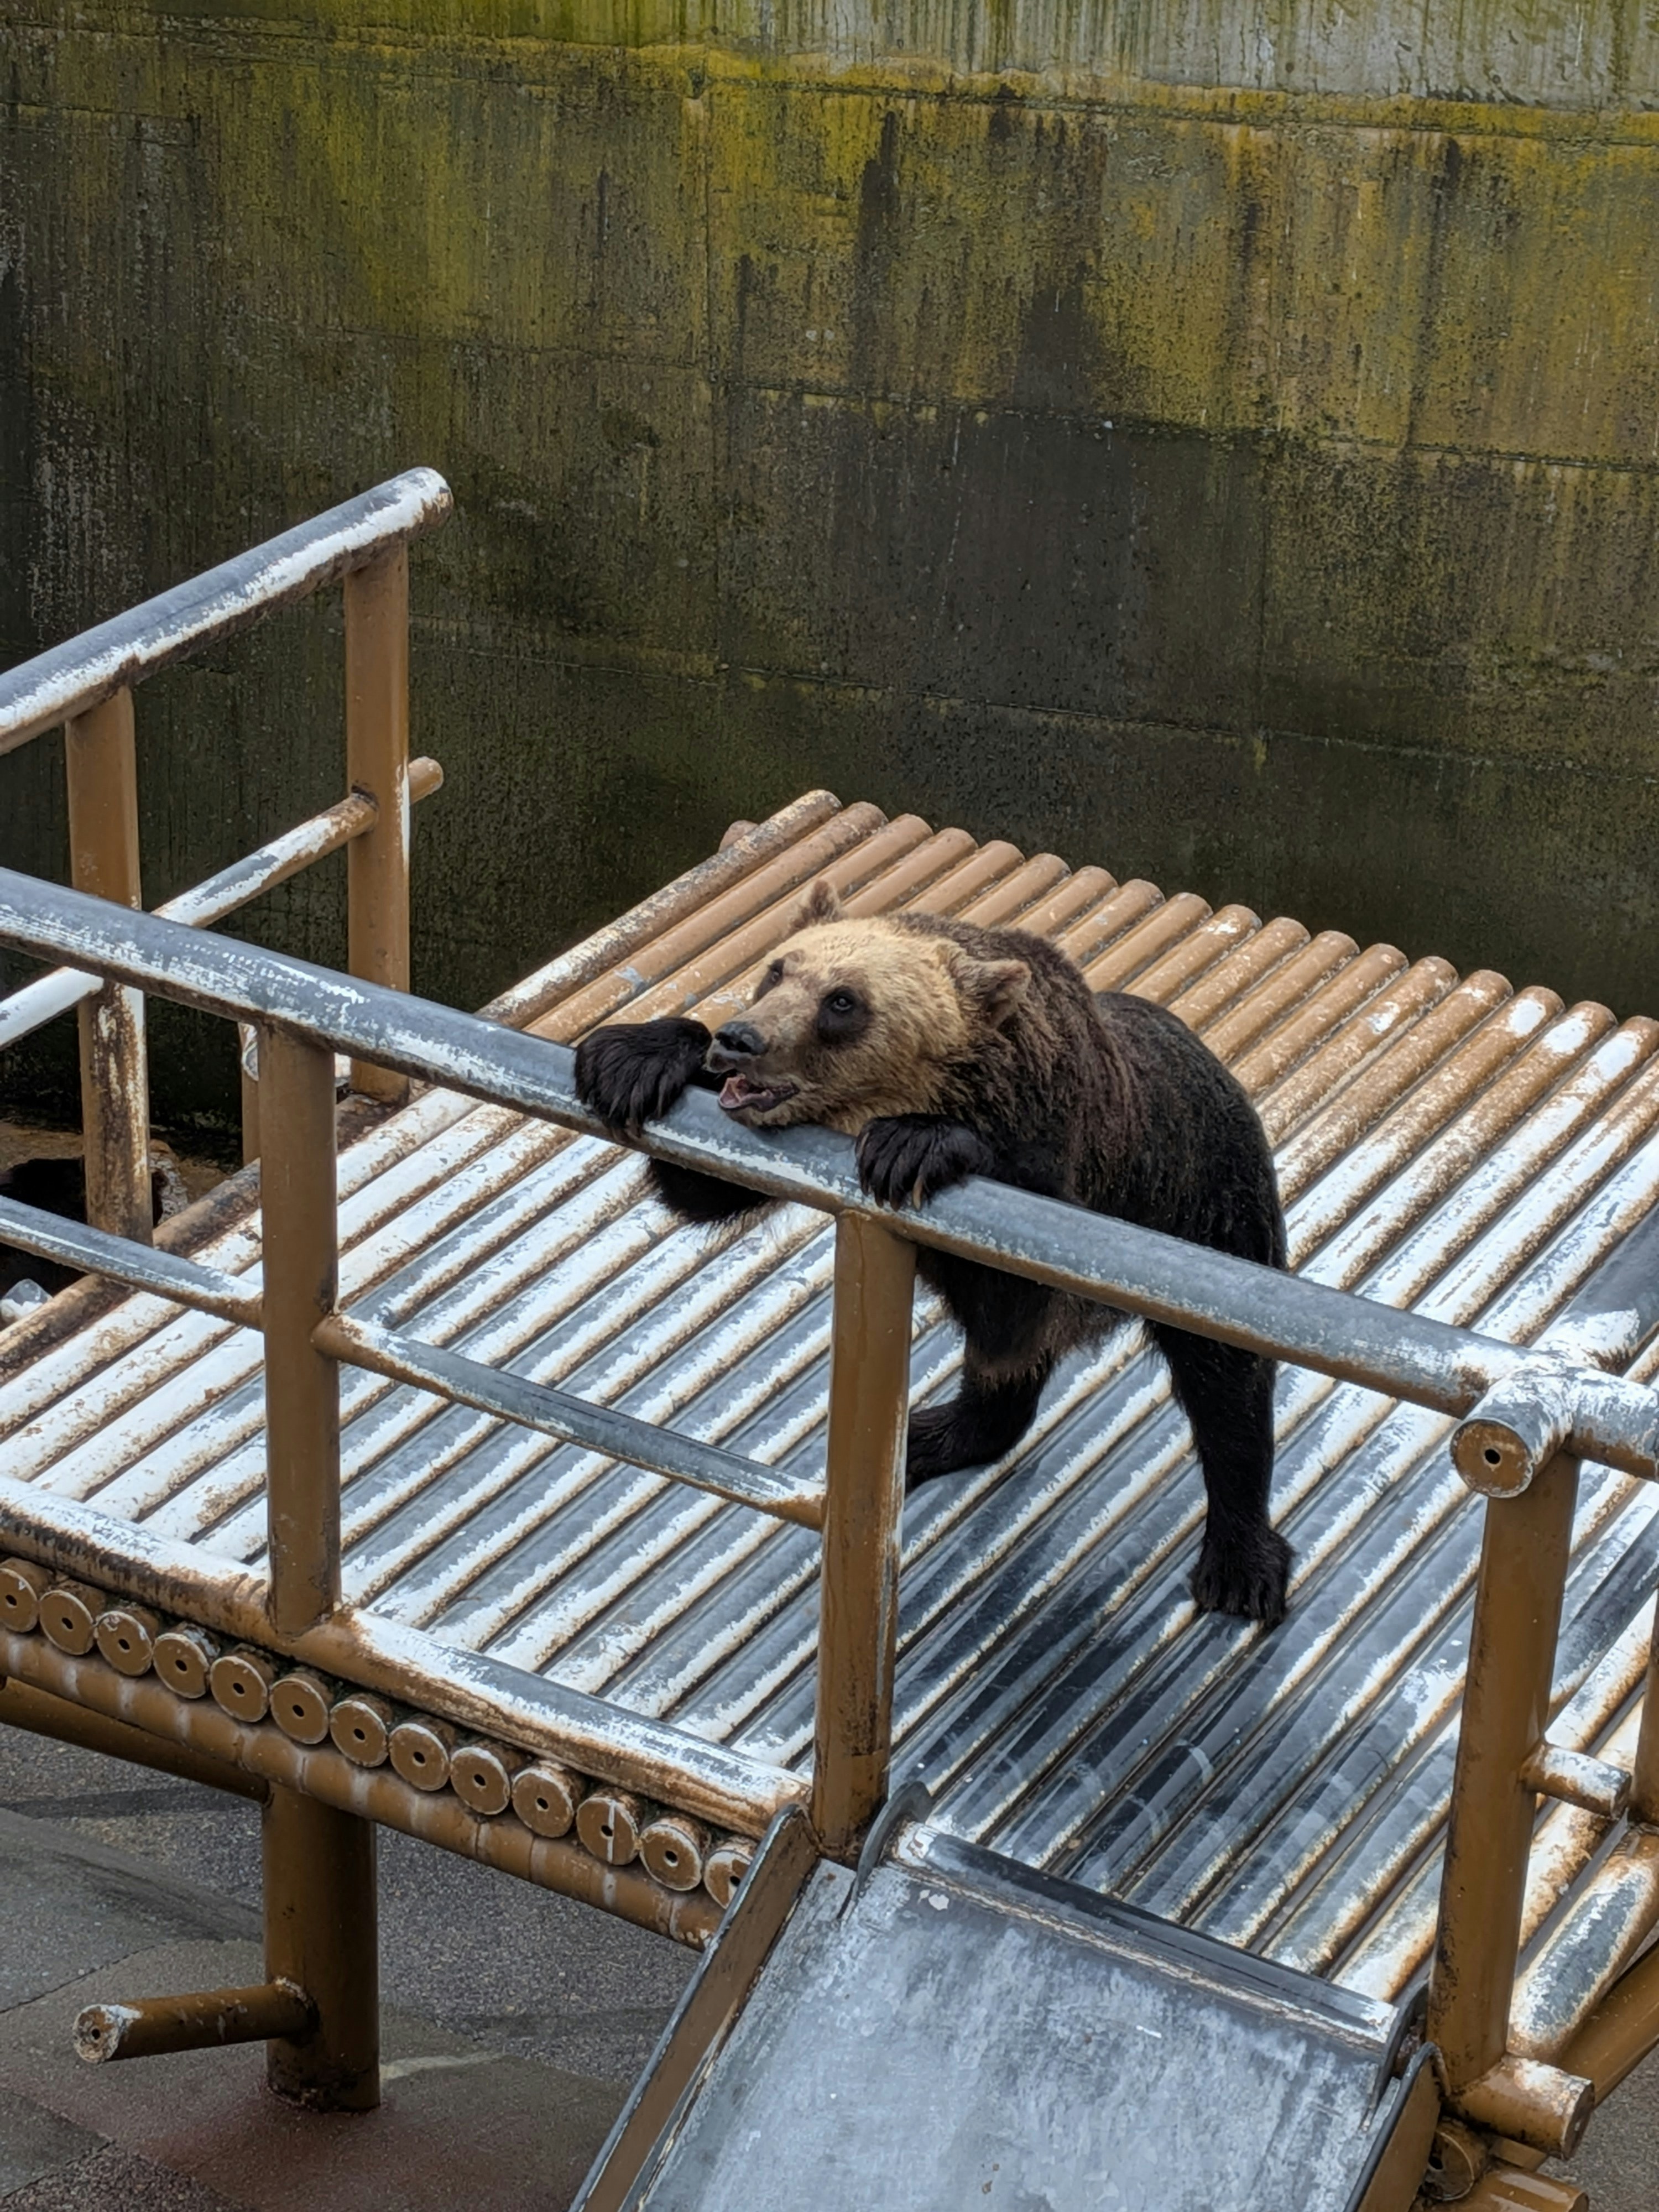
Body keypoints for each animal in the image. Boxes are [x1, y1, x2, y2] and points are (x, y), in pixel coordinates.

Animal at [573, 881, 1292, 1625]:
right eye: (778, 968)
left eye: (843, 1001)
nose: (741, 1040)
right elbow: (703, 1184)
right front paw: (633, 1058)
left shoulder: (1073, 1175)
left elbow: (1016, 1302)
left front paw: (915, 1144)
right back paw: (928, 1431)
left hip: (1214, 1214)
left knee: (1227, 1387)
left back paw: (1240, 1566)